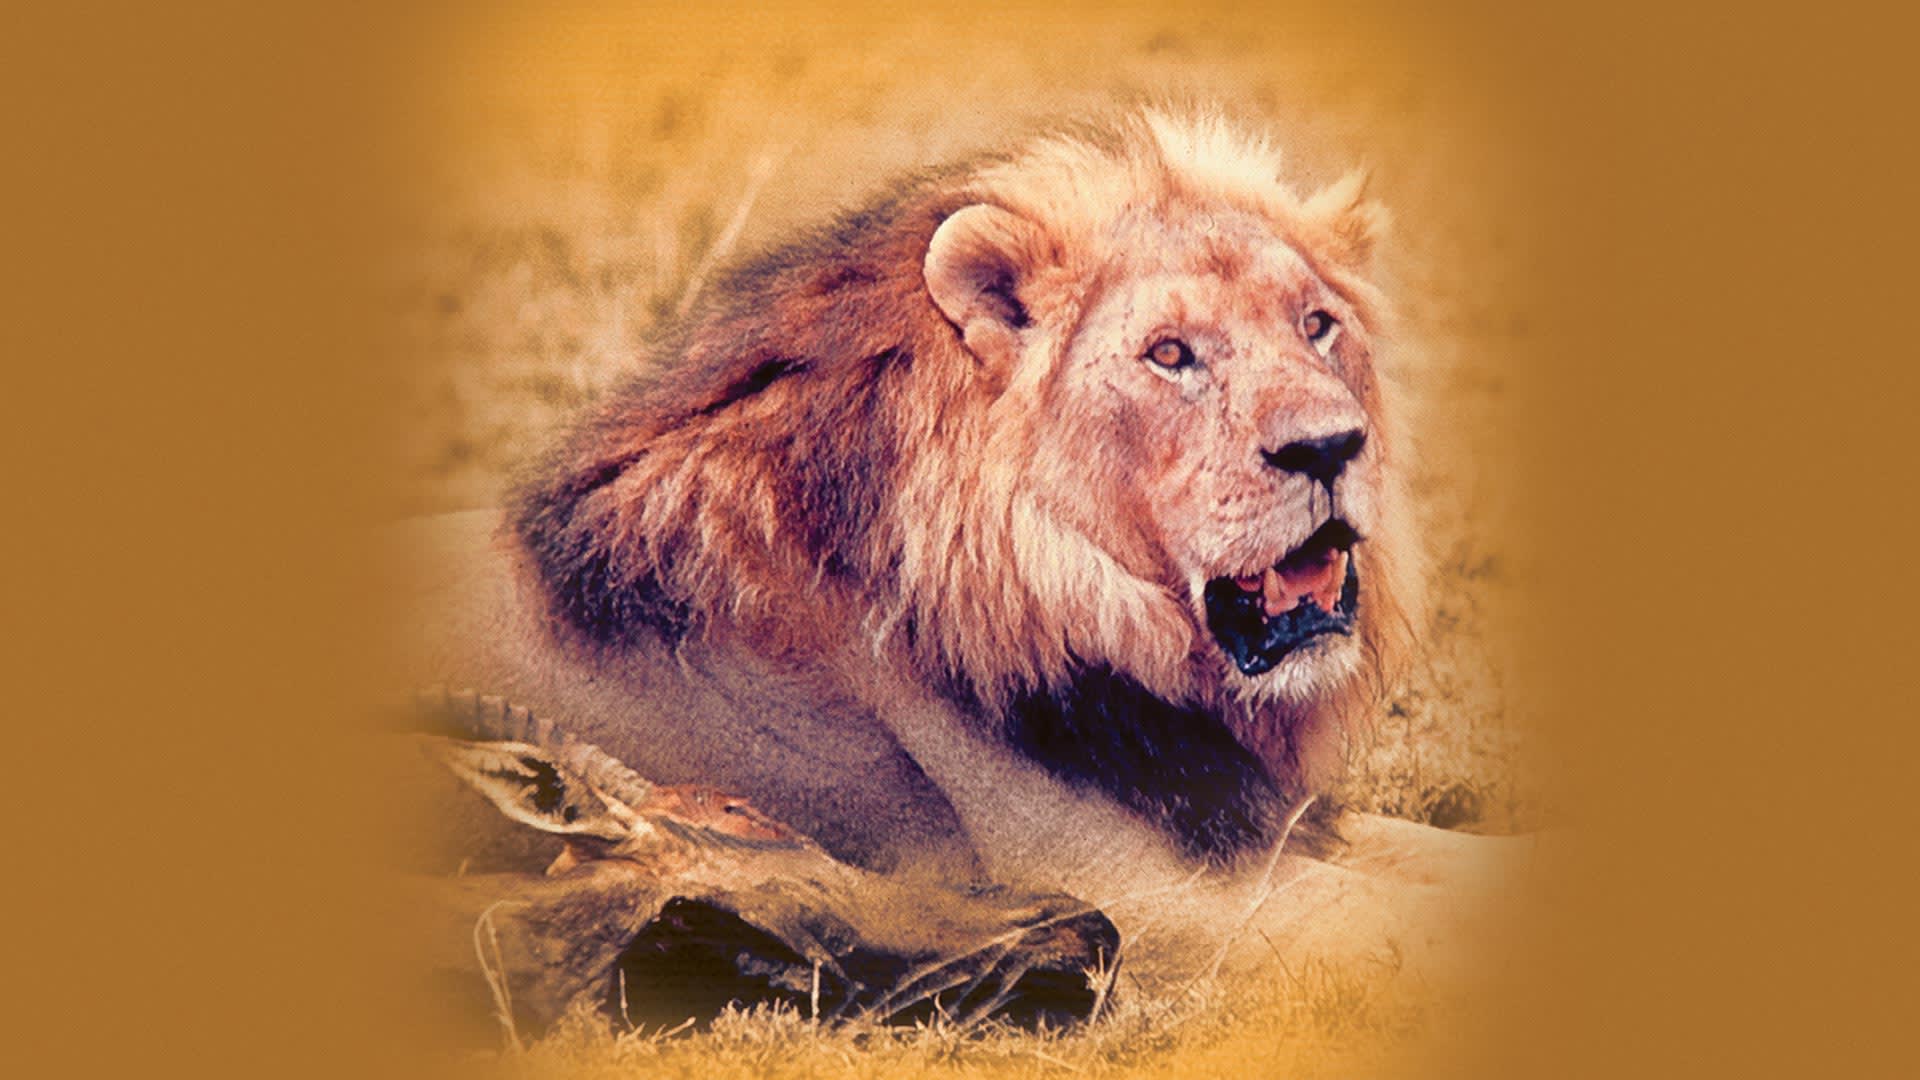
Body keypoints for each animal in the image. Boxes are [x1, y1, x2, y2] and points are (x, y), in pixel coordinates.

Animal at [400, 109, 1526, 982]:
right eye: (1169, 354)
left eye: (1317, 324)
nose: (1331, 446)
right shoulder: (1149, 894)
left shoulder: (1254, 821)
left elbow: (1458, 858)